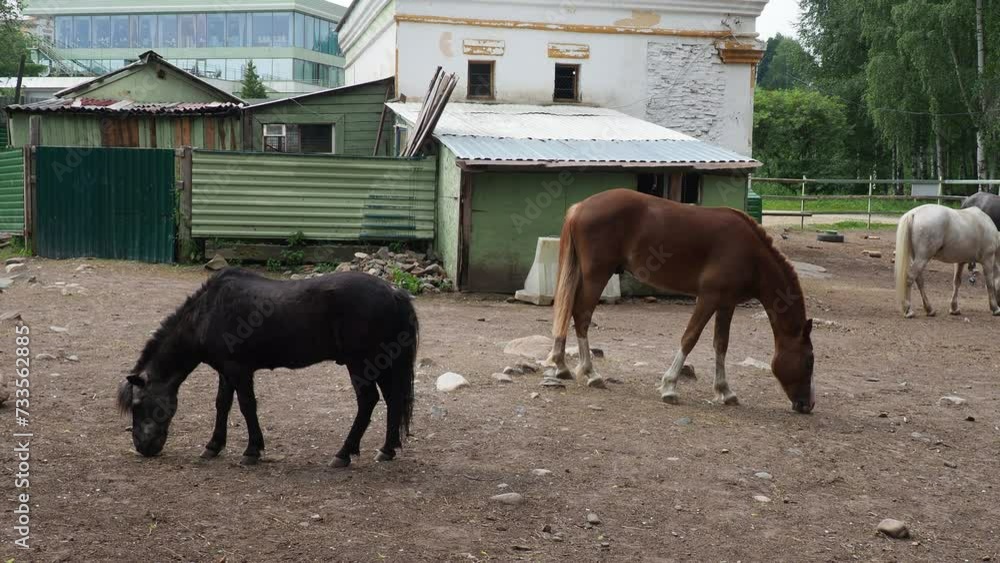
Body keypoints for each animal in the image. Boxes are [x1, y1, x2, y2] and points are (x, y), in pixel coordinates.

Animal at [116, 269, 419, 468]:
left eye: (138, 405)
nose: (142, 447)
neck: (207, 313)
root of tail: (394, 292)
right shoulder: (226, 371)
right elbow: (222, 405)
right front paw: (213, 446)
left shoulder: (239, 370)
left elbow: (247, 406)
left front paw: (252, 450)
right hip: (383, 363)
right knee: (392, 401)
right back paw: (387, 450)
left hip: (362, 364)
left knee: (368, 402)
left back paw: (343, 454)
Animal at [541, 189, 815, 414]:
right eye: (809, 360)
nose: (808, 405)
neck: (751, 254)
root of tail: (580, 207)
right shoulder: (708, 298)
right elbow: (690, 338)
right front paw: (670, 387)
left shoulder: (726, 304)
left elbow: (721, 345)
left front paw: (725, 391)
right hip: (597, 275)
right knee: (582, 315)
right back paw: (591, 374)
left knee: (569, 312)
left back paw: (562, 366)